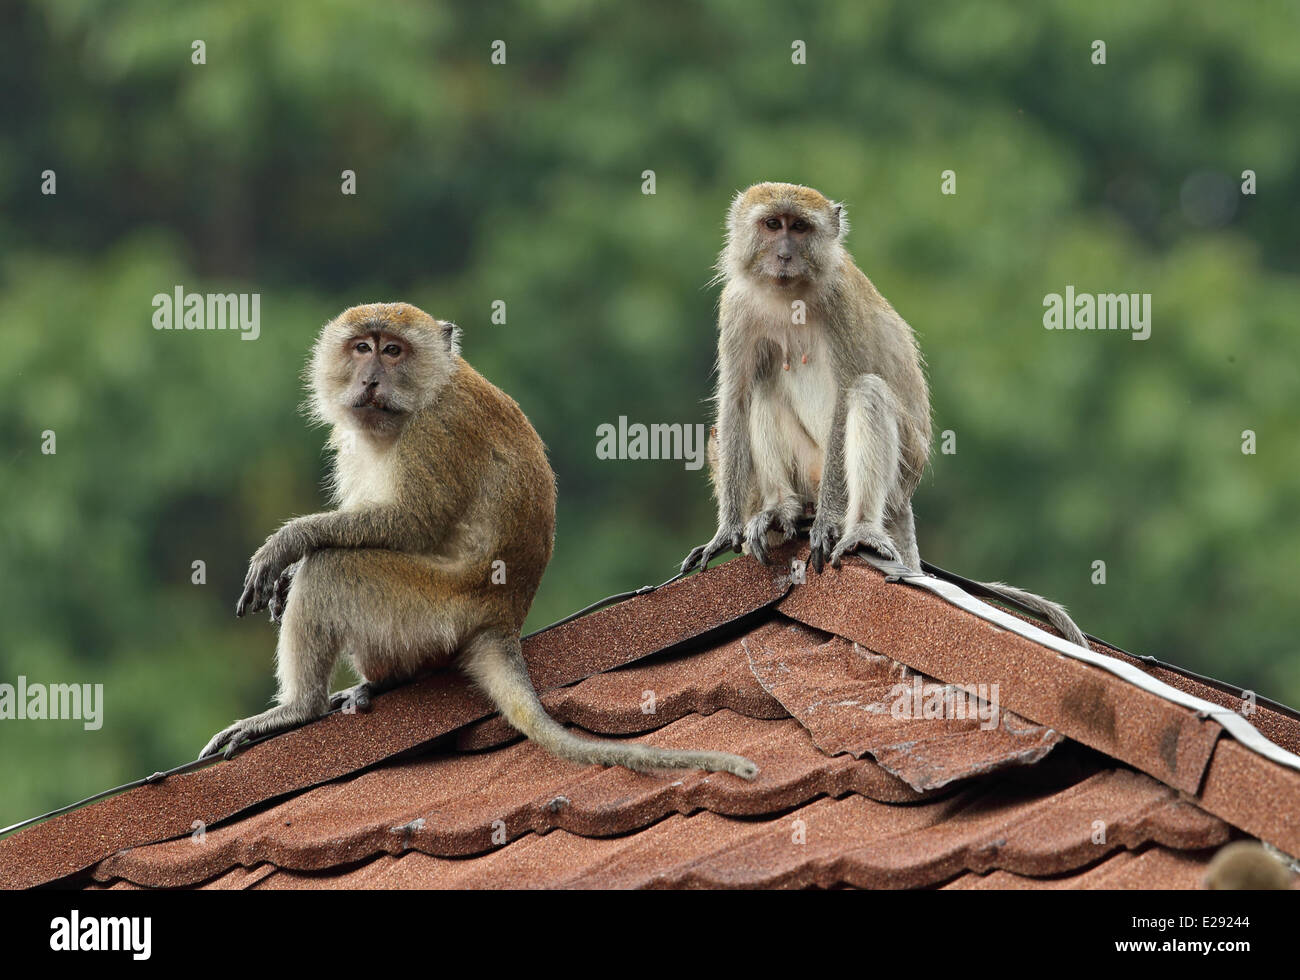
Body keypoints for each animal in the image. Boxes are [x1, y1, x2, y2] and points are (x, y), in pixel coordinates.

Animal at [200, 302, 758, 779]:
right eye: (362, 348)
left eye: (393, 350)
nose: (371, 378)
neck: (424, 393)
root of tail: (500, 617)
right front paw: (286, 567)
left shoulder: (437, 429)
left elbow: (411, 524)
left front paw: (286, 546)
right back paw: (382, 681)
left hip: (429, 612)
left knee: (334, 568)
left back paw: (299, 709)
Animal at [681, 182, 1090, 650]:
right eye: (772, 224)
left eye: (799, 228)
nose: (784, 255)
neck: (787, 297)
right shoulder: (736, 307)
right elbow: (735, 400)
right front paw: (726, 531)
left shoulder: (840, 302)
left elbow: (846, 396)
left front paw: (827, 524)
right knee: (764, 381)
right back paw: (783, 508)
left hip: (897, 470)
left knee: (868, 393)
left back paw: (857, 528)